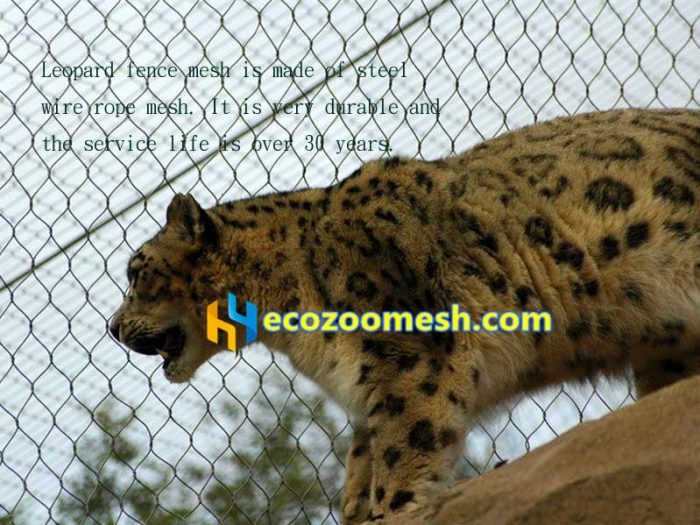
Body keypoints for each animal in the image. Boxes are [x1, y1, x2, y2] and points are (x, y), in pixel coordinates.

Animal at [110, 108, 700, 523]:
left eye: (135, 273)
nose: (113, 328)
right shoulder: (372, 381)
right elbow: (364, 456)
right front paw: (357, 508)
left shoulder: (411, 358)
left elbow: (405, 444)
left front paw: (394, 507)